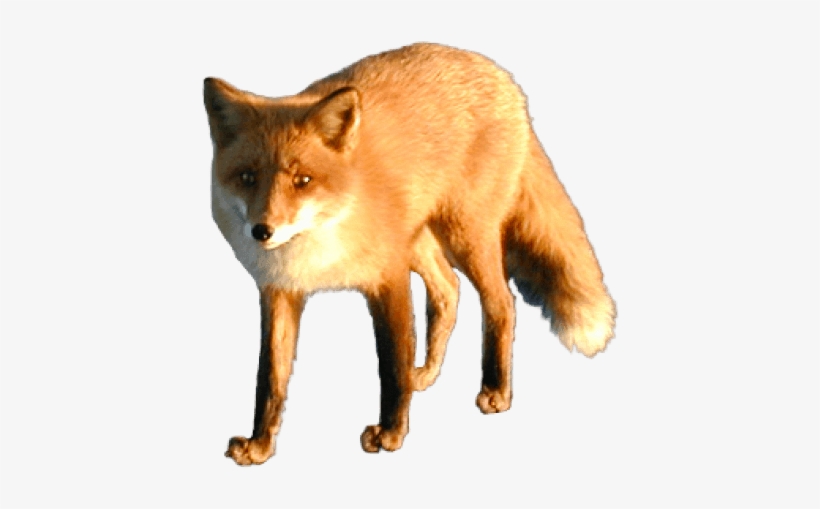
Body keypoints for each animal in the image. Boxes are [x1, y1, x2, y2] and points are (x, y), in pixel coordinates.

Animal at [204, 43, 615, 465]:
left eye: (303, 180)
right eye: (247, 177)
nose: (262, 231)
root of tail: (500, 74)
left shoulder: (389, 277)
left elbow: (390, 364)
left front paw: (390, 434)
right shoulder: (280, 292)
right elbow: (270, 378)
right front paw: (260, 446)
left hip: (465, 235)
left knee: (501, 301)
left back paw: (496, 391)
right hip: (420, 241)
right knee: (449, 290)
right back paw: (427, 374)